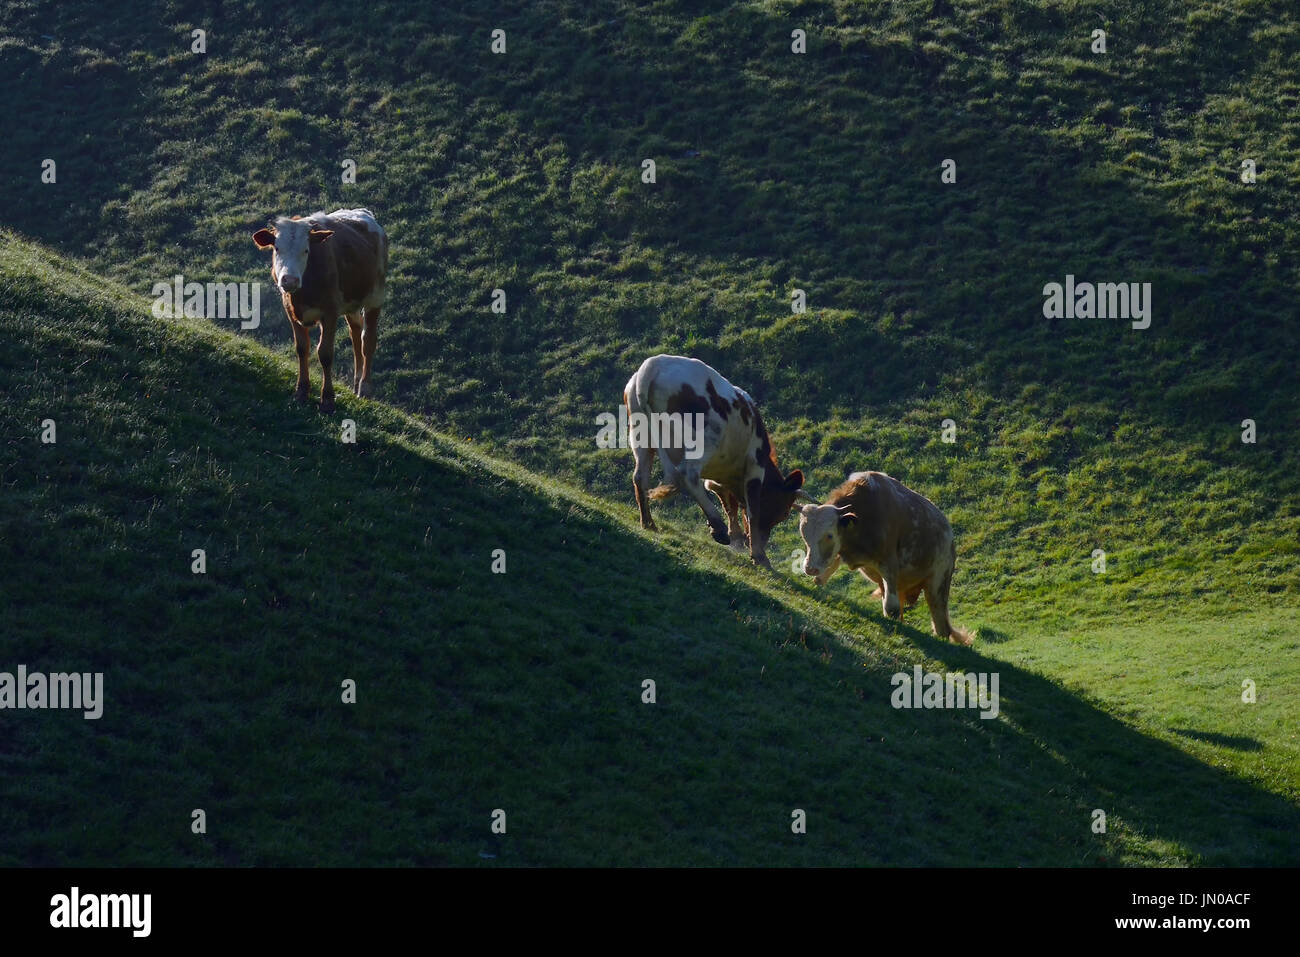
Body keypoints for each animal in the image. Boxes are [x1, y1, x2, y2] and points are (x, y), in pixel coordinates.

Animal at [252, 208, 388, 413]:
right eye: (277, 248)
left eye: (306, 250)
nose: (289, 280)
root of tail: (362, 212)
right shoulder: (290, 310)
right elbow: (302, 348)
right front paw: (301, 391)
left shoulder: (330, 313)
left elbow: (325, 353)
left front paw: (327, 399)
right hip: (351, 304)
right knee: (355, 334)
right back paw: (356, 382)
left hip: (375, 296)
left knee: (368, 341)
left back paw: (364, 387)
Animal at [623, 354, 806, 568]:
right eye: (785, 512)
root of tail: (654, 364)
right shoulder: (755, 466)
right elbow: (753, 509)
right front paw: (759, 554)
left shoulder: (721, 477)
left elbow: (728, 502)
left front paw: (737, 536)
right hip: (705, 440)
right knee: (687, 475)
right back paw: (717, 526)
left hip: (641, 438)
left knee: (640, 477)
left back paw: (648, 523)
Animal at [794, 471, 973, 645]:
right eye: (804, 534)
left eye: (829, 535)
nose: (810, 568)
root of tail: (949, 535)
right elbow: (821, 577)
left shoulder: (889, 564)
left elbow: (891, 608)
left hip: (937, 585)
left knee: (941, 626)